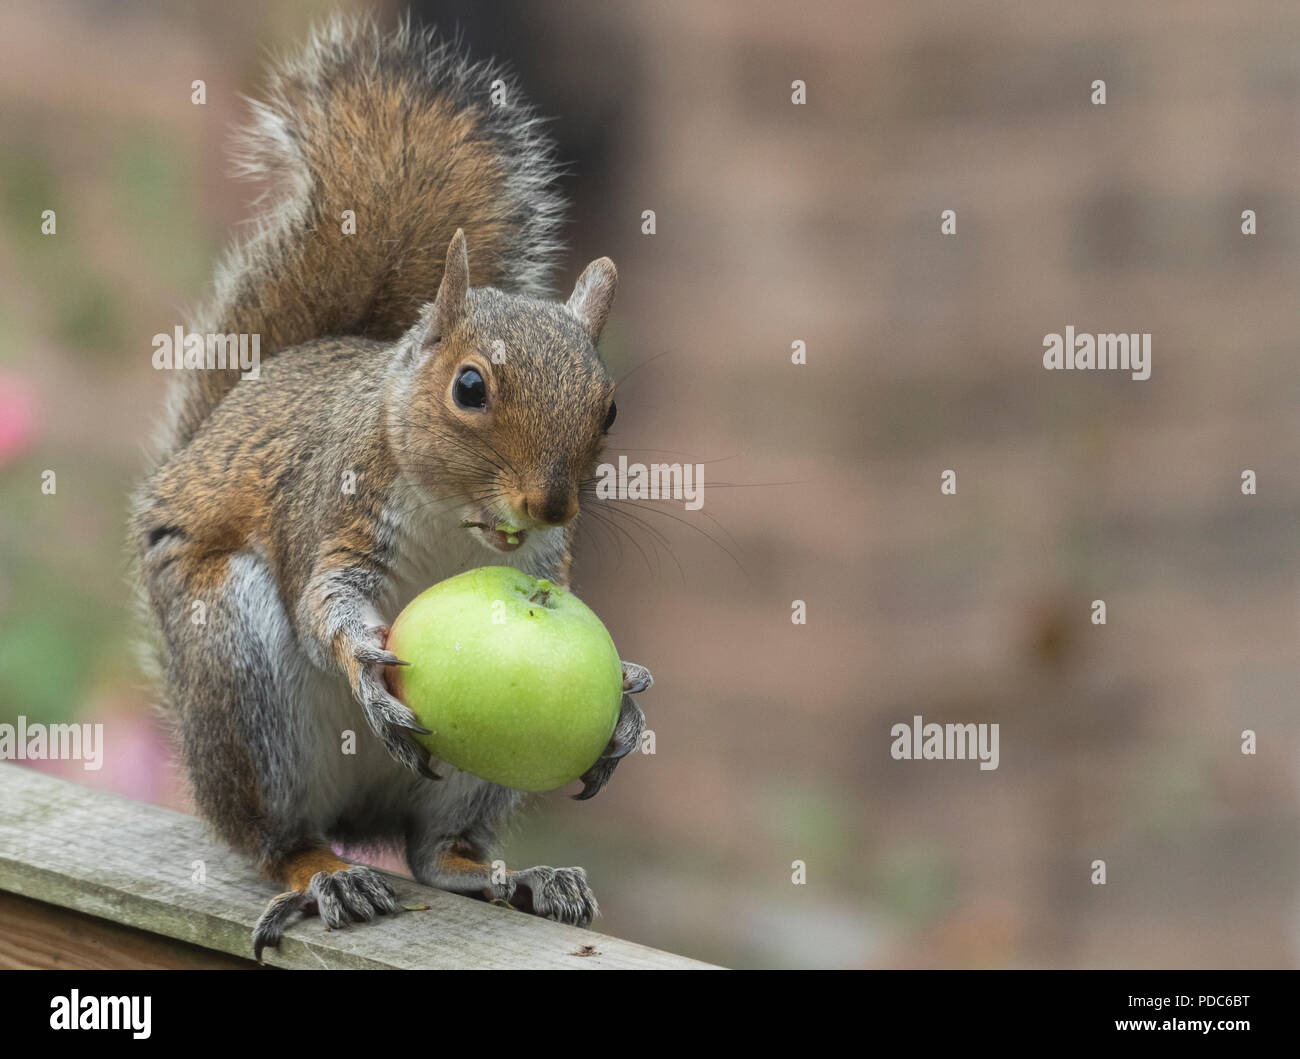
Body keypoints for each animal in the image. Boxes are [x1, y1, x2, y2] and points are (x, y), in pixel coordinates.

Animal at [130, 14, 652, 960]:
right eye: (470, 386)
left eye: (611, 407)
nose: (551, 504)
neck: (458, 521)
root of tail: (358, 815)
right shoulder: (333, 512)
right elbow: (325, 605)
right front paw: (369, 666)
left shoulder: (547, 563)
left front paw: (627, 701)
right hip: (234, 671)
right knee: (275, 837)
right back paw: (324, 875)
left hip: (469, 784)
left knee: (436, 852)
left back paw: (517, 876)